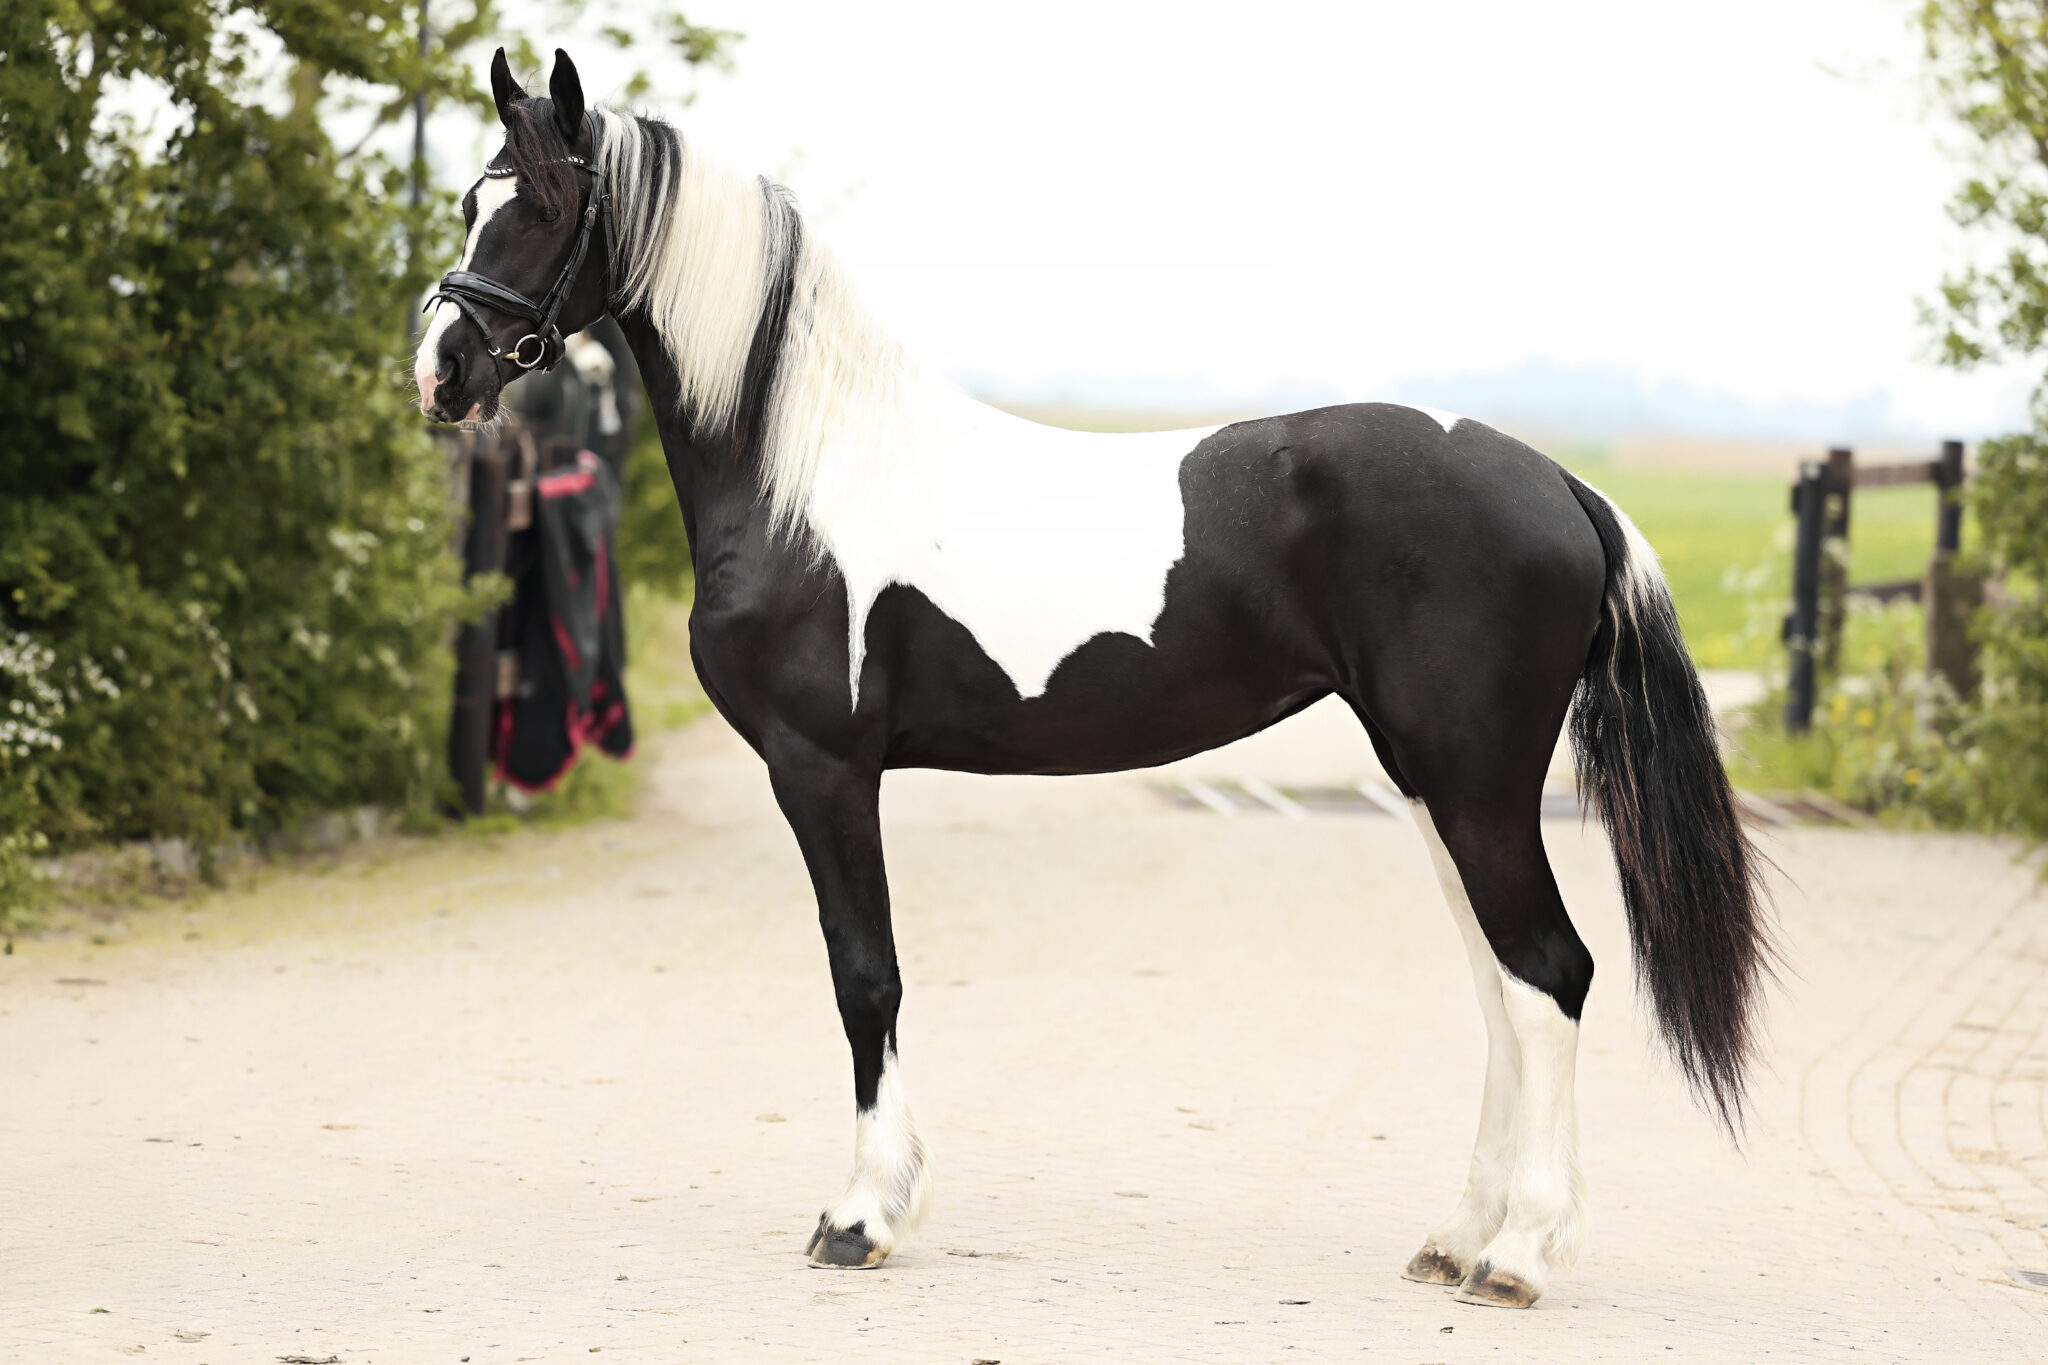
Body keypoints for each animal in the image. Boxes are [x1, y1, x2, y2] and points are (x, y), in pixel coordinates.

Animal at [414, 48, 1771, 1309]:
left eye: (539, 209)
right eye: (472, 198)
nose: (440, 368)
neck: (809, 474)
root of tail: (1561, 485)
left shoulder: (824, 770)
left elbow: (865, 976)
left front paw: (860, 1217)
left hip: (1474, 783)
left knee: (1548, 973)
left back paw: (1519, 1256)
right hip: (1433, 782)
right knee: (1502, 983)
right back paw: (1457, 1239)